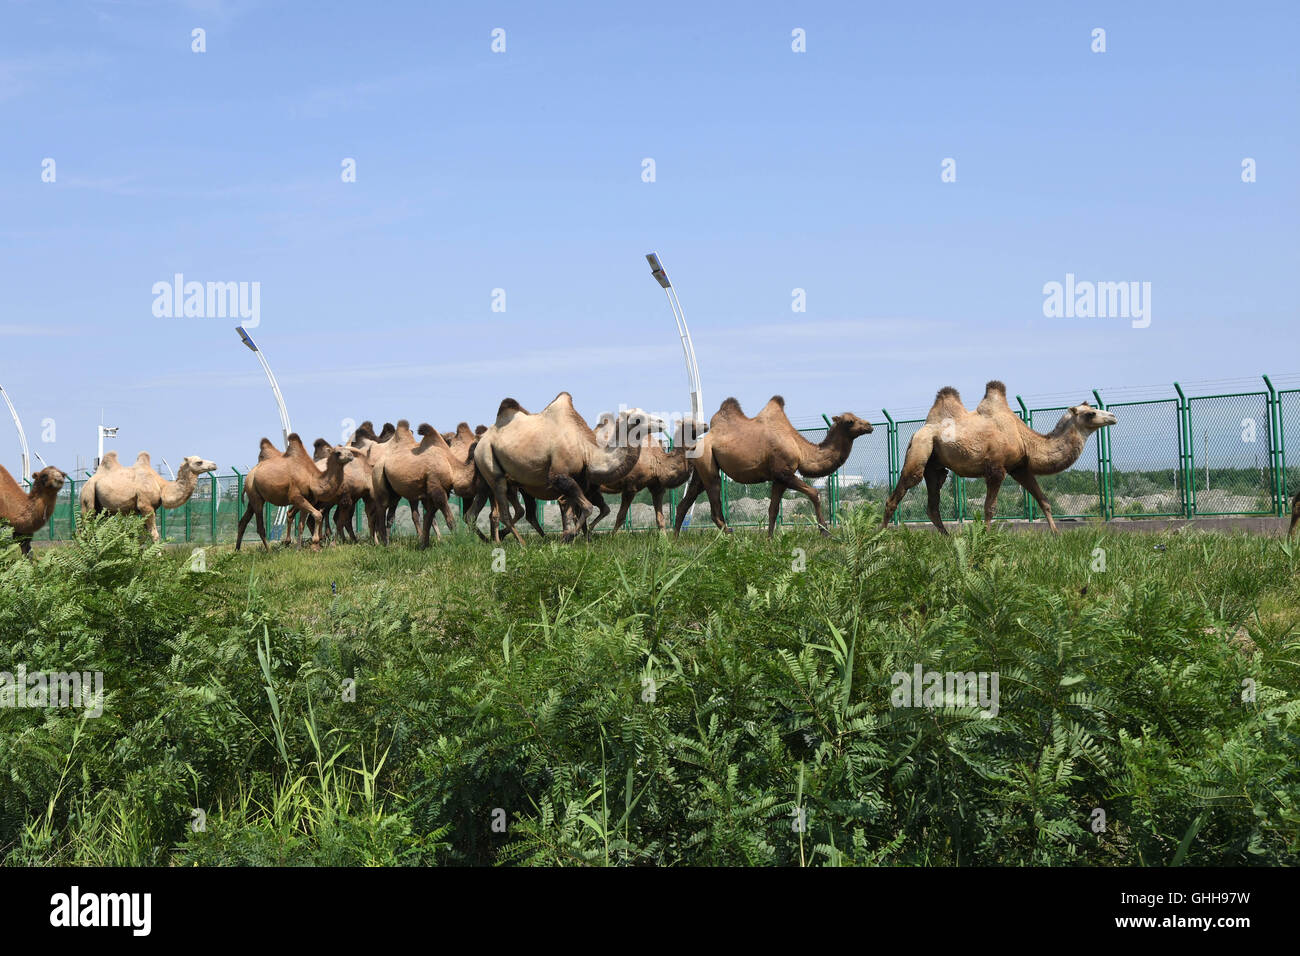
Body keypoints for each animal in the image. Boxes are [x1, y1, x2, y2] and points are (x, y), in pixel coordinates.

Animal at [79, 451, 217, 542]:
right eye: (199, 462)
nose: (214, 464)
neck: (161, 487)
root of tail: (86, 483)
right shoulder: (145, 506)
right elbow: (154, 534)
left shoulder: (150, 509)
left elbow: (144, 534)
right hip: (88, 499)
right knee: (84, 529)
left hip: (102, 511)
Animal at [470, 393, 662, 544]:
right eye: (638, 419)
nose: (661, 421)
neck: (587, 451)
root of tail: (481, 440)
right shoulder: (559, 475)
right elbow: (586, 508)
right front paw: (570, 536)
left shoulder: (578, 480)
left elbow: (571, 511)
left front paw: (571, 538)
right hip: (489, 461)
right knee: (503, 508)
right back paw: (520, 543)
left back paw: (495, 539)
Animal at [672, 397, 873, 538]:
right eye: (850, 421)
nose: (869, 425)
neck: (800, 449)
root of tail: (696, 445)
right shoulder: (784, 473)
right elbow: (814, 494)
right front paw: (825, 532)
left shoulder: (779, 479)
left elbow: (773, 509)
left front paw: (769, 539)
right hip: (708, 464)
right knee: (714, 505)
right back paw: (730, 534)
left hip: (700, 470)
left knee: (684, 503)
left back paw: (674, 539)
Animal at [880, 380, 1117, 534]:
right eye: (1091, 413)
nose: (1113, 416)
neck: (1024, 438)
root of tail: (917, 432)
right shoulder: (996, 469)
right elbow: (989, 507)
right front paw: (985, 539)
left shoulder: (1020, 468)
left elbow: (1044, 501)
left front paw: (1057, 535)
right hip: (920, 450)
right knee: (897, 494)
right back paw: (880, 538)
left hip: (935, 467)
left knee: (932, 504)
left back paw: (948, 539)